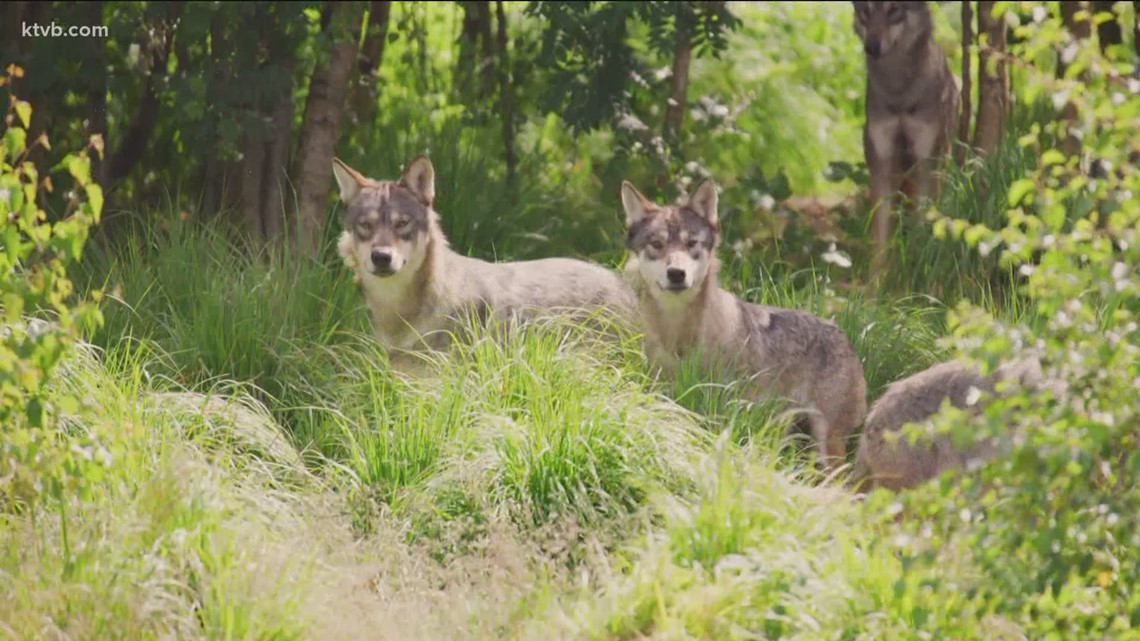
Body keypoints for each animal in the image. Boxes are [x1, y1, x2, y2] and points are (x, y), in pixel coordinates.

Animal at [620, 179, 868, 470]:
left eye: (691, 243)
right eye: (657, 244)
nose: (677, 274)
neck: (679, 333)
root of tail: (844, 338)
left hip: (827, 443)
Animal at [852, 1, 960, 271]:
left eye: (893, 9)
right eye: (866, 9)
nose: (871, 46)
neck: (898, 91)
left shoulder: (924, 164)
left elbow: (920, 228)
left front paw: (914, 271)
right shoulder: (880, 164)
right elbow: (880, 241)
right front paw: (878, 281)